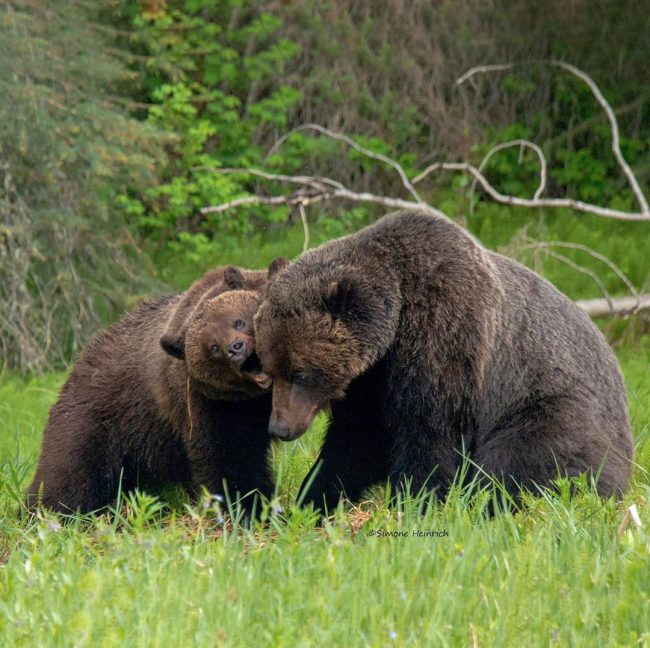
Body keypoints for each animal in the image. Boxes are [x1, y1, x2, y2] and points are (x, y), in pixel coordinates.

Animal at [27, 265, 274, 515]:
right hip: (97, 422)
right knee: (68, 476)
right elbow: (231, 455)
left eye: (238, 322)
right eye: (213, 348)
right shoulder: (207, 403)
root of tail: (79, 363)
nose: (235, 348)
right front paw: (248, 506)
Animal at [254, 210, 634, 512]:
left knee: (522, 459)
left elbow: (429, 432)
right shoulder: (371, 380)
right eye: (270, 371)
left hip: (553, 407)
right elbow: (357, 438)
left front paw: (414, 501)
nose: (279, 428)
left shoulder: (445, 339)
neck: (395, 325)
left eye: (301, 373)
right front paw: (312, 498)